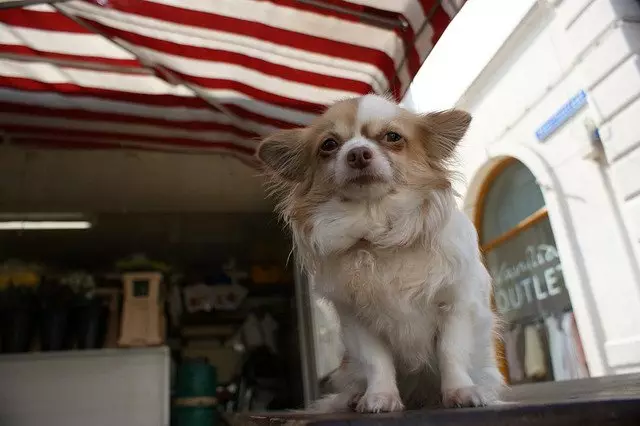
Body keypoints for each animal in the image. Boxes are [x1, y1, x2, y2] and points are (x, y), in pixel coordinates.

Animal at [258, 94, 502, 412]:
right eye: (329, 145)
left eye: (393, 137)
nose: (357, 153)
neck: (378, 231)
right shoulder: (358, 321)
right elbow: (376, 361)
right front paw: (380, 396)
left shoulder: (455, 305)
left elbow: (452, 351)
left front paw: (461, 391)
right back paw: (353, 397)